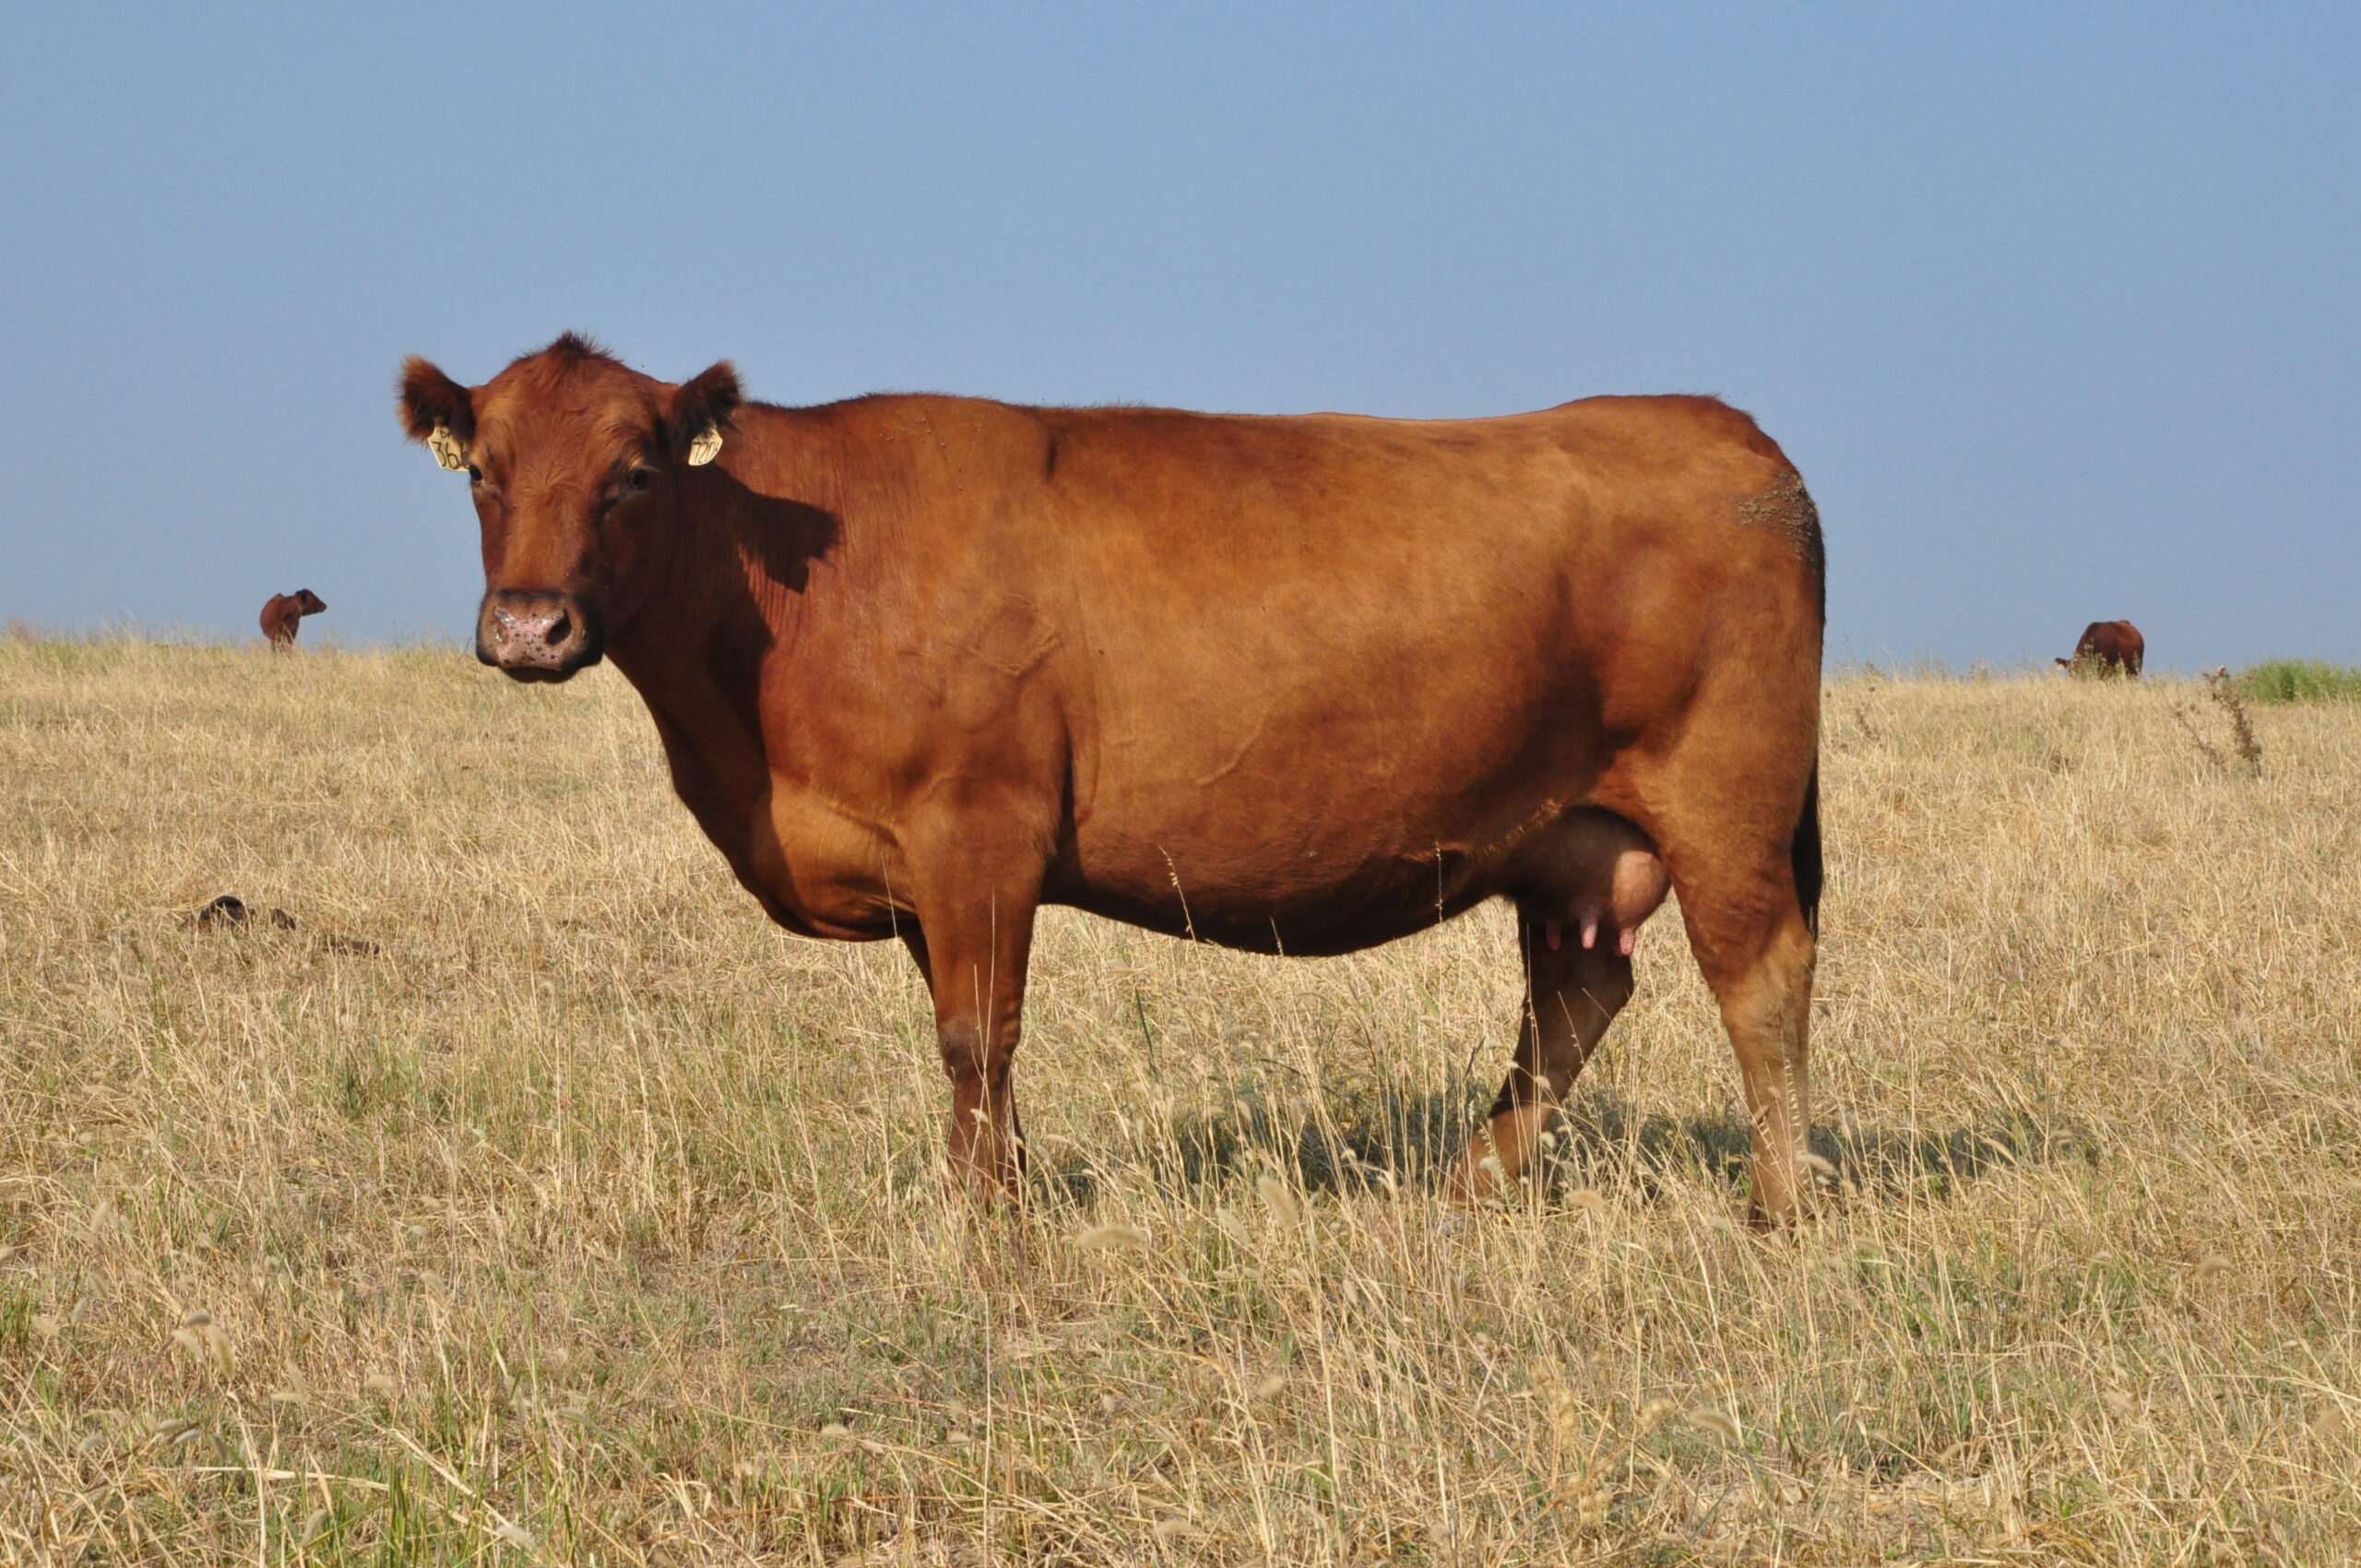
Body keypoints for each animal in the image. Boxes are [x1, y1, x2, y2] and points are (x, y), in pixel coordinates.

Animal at [398, 334, 1828, 1224]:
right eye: (484, 473)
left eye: (634, 472)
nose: (529, 626)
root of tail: (1720, 427)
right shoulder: (921, 871)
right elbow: (973, 1041)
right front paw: (1007, 1188)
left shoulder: (978, 826)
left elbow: (978, 1035)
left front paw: (984, 1221)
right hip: (1569, 836)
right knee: (1575, 993)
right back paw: (1472, 1184)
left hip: (1728, 802)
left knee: (1759, 980)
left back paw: (1777, 1207)